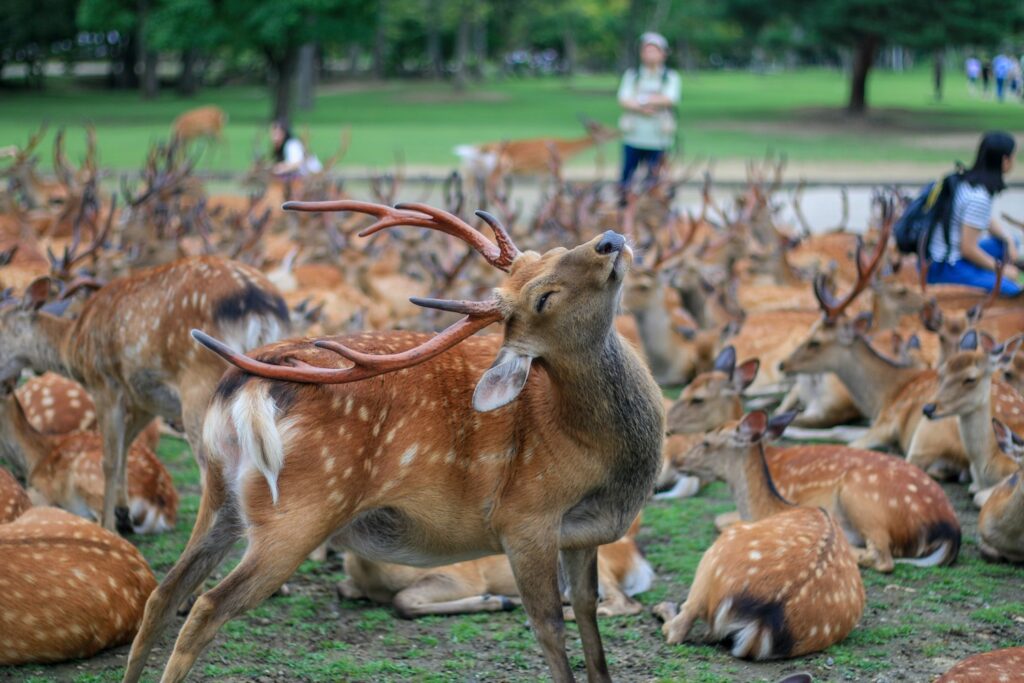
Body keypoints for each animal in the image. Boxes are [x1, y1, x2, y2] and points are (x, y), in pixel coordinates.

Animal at [338, 514, 652, 620]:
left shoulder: (462, 576)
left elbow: (402, 601)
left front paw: (492, 600)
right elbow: (343, 588)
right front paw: (500, 600)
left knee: (625, 602)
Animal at [653, 411, 865, 659]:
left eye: (706, 442)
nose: (678, 461)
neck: (774, 509)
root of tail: (762, 621)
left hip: (715, 553)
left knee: (678, 628)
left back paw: (663, 608)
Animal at [676, 411, 961, 572]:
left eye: (706, 442)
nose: (678, 461)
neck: (766, 509)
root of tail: (951, 531)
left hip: (861, 498)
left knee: (883, 558)